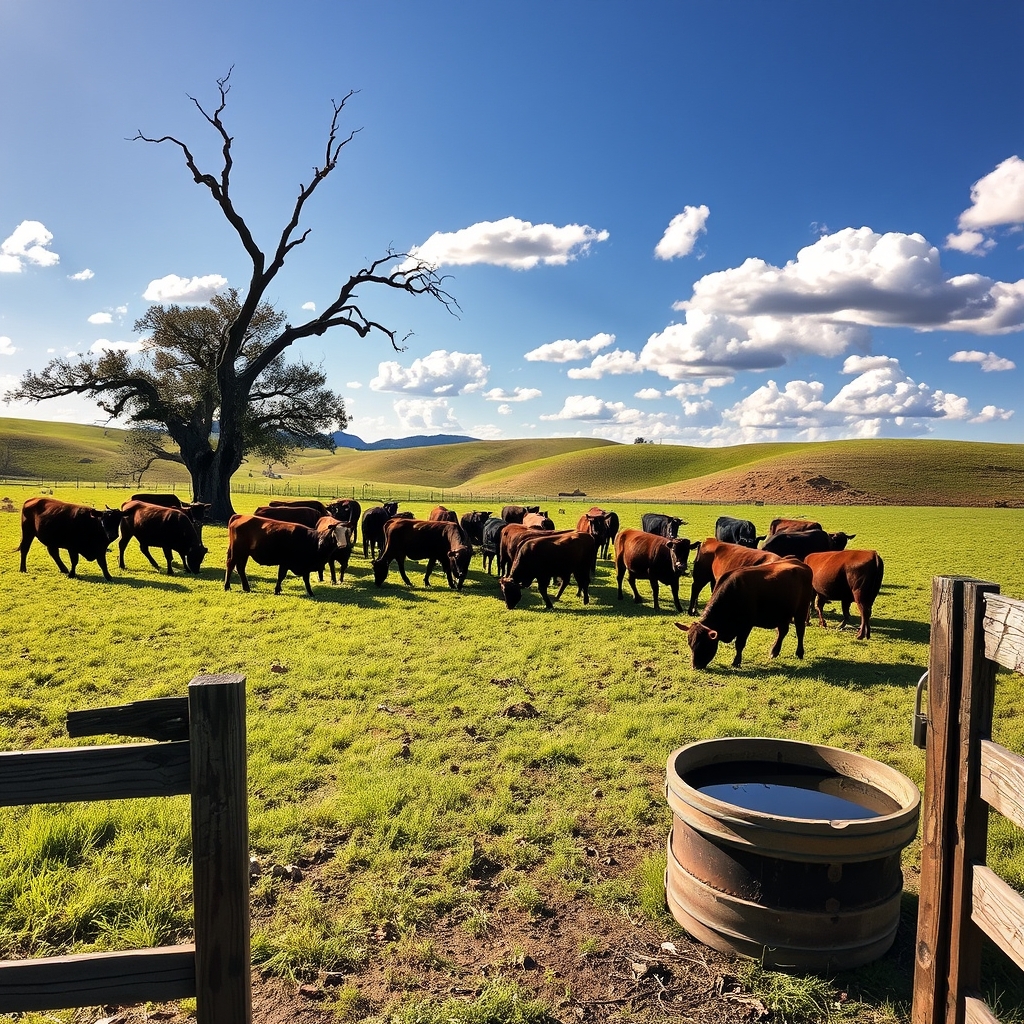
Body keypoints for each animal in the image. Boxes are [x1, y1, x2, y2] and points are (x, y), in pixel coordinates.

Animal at [677, 559, 814, 669]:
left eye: (704, 645)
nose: (695, 666)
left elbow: (739, 644)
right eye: (690, 645)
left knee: (800, 630)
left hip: (801, 610)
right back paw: (774, 652)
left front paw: (736, 662)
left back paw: (799, 653)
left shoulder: (746, 625)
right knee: (782, 631)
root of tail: (801, 564)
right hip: (782, 614)